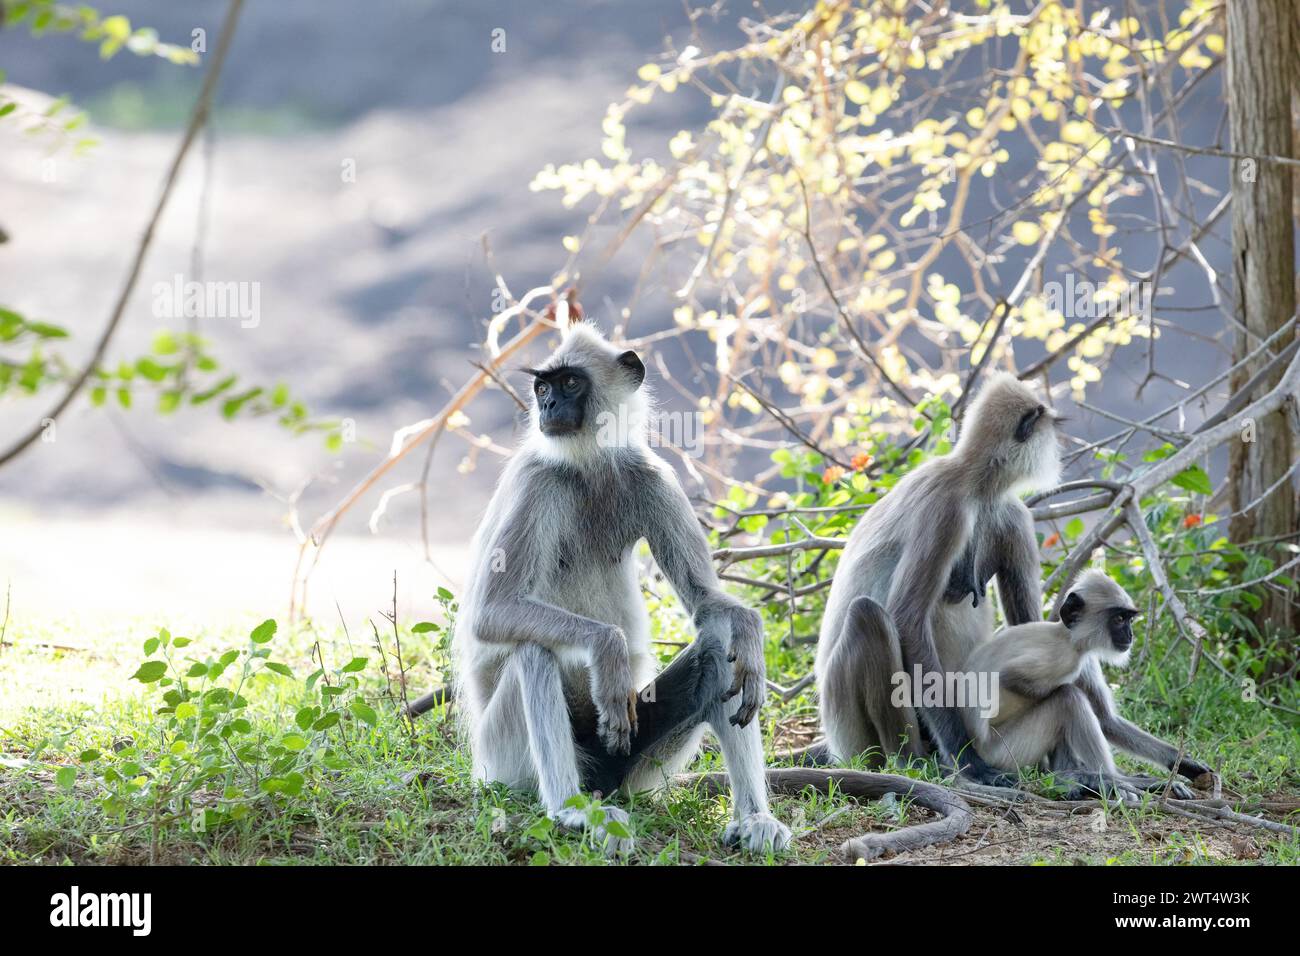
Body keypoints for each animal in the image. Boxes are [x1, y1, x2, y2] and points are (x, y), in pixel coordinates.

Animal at [449, 320, 791, 856]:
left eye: (570, 383)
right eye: (542, 388)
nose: (548, 406)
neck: (587, 465)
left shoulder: (650, 474)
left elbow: (708, 605)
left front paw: (749, 633)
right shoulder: (536, 479)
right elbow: (492, 611)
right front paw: (608, 649)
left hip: (636, 767)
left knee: (719, 649)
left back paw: (754, 818)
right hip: (502, 763)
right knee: (533, 651)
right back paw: (570, 811)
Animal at [814, 372, 1061, 784]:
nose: (1060, 445)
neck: (976, 486)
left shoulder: (1012, 514)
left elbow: (1030, 627)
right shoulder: (945, 507)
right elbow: (906, 620)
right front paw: (971, 760)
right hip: (847, 730)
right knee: (869, 616)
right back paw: (910, 762)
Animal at [961, 570, 1212, 799]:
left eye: (1129, 619)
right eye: (1119, 619)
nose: (1130, 636)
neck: (1067, 636)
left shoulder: (1085, 658)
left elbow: (1105, 720)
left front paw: (1185, 762)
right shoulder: (1066, 659)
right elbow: (1009, 678)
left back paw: (1071, 780)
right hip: (1004, 751)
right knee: (1067, 697)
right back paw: (1118, 784)